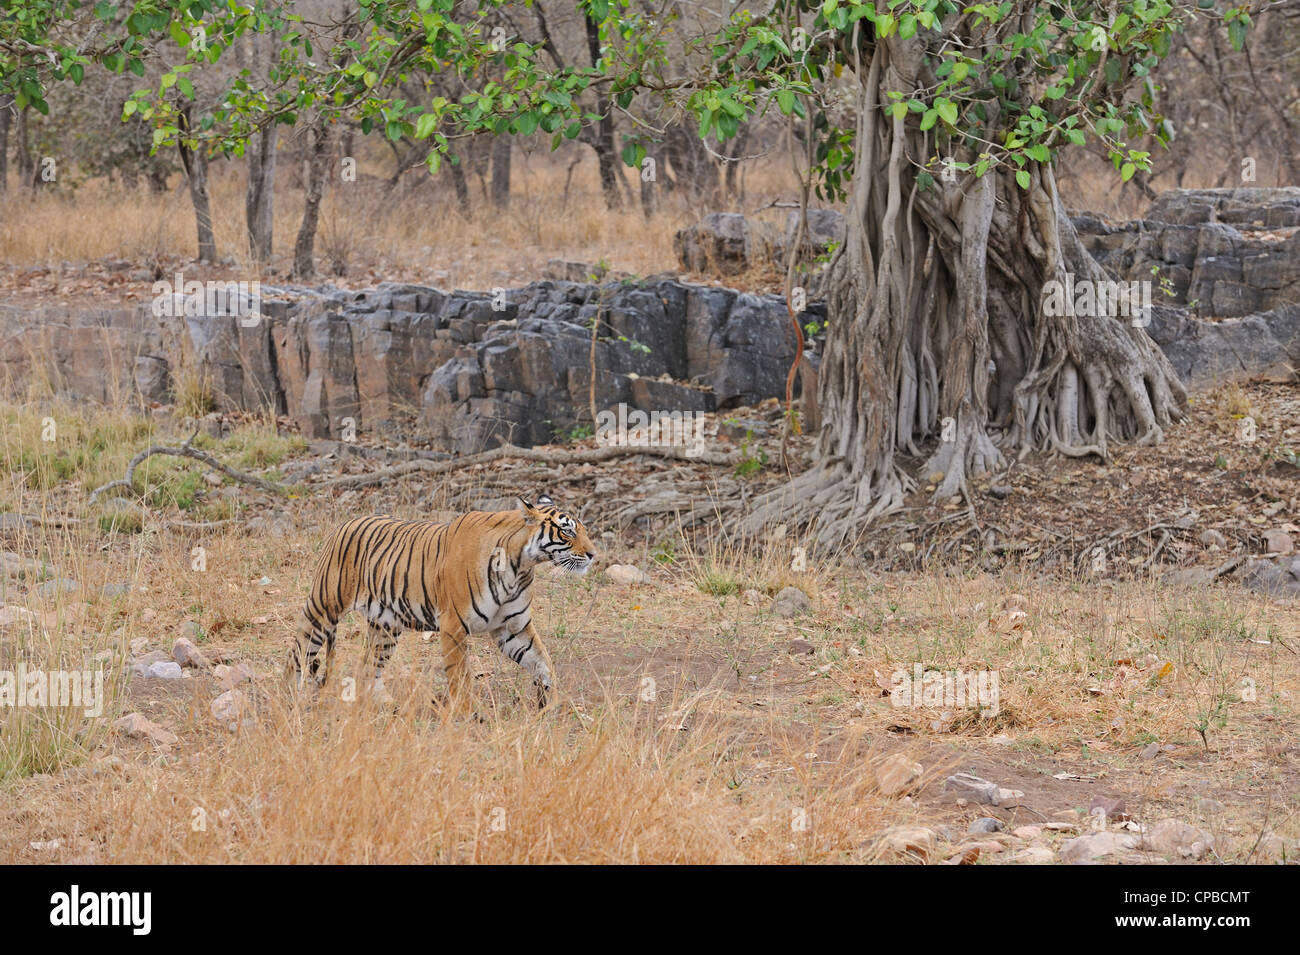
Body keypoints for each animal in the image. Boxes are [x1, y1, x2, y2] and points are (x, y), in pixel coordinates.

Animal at [285, 494, 596, 710]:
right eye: (567, 531)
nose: (594, 554)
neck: (520, 566)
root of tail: (344, 523)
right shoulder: (453, 625)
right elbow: (460, 676)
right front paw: (470, 713)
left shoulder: (513, 628)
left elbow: (542, 661)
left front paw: (552, 702)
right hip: (323, 608)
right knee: (297, 654)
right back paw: (291, 699)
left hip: (385, 627)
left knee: (367, 666)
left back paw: (385, 705)